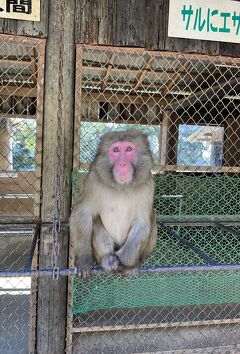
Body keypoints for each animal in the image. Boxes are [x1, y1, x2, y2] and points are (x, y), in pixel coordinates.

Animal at [69, 129, 157, 278]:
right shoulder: (94, 181)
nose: (122, 163)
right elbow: (82, 213)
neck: (121, 187)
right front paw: (83, 260)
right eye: (116, 150)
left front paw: (125, 262)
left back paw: (133, 264)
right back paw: (107, 259)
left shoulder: (148, 185)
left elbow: (142, 223)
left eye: (128, 149)